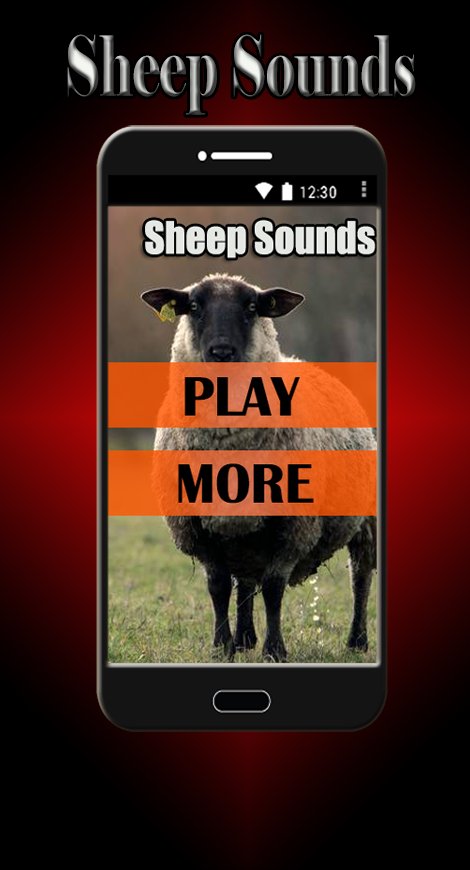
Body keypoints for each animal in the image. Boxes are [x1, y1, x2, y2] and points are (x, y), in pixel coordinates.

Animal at [141, 273, 376, 662]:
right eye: (194, 306)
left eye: (252, 308)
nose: (221, 352)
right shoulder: (200, 527)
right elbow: (219, 586)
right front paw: (222, 646)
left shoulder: (292, 527)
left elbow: (273, 588)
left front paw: (275, 650)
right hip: (243, 533)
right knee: (245, 582)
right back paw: (244, 638)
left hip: (364, 521)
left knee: (360, 576)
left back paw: (357, 640)